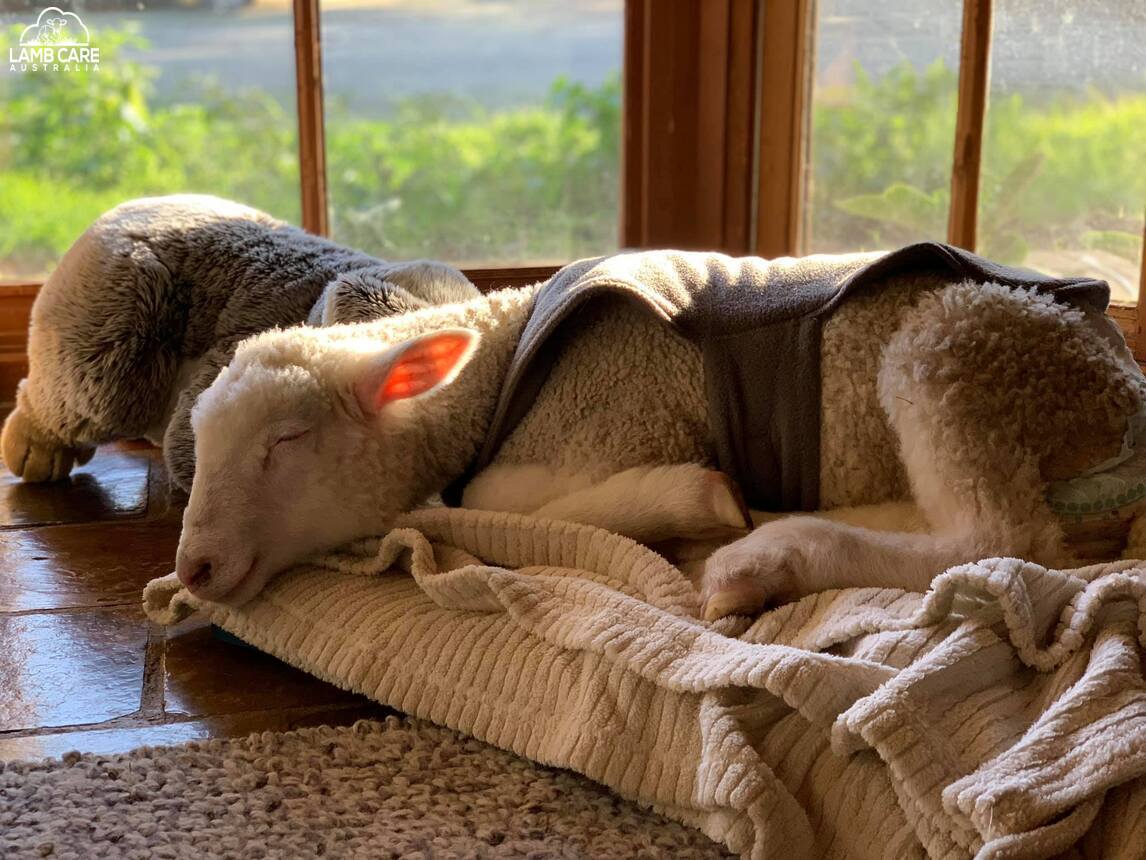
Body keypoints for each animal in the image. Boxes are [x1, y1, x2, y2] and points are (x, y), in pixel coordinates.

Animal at [161, 249, 1145, 614]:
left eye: (284, 444)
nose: (196, 568)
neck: (501, 353)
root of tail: (1118, 382)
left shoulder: (604, 419)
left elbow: (492, 496)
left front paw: (694, 498)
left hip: (964, 353)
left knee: (1004, 538)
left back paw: (763, 558)